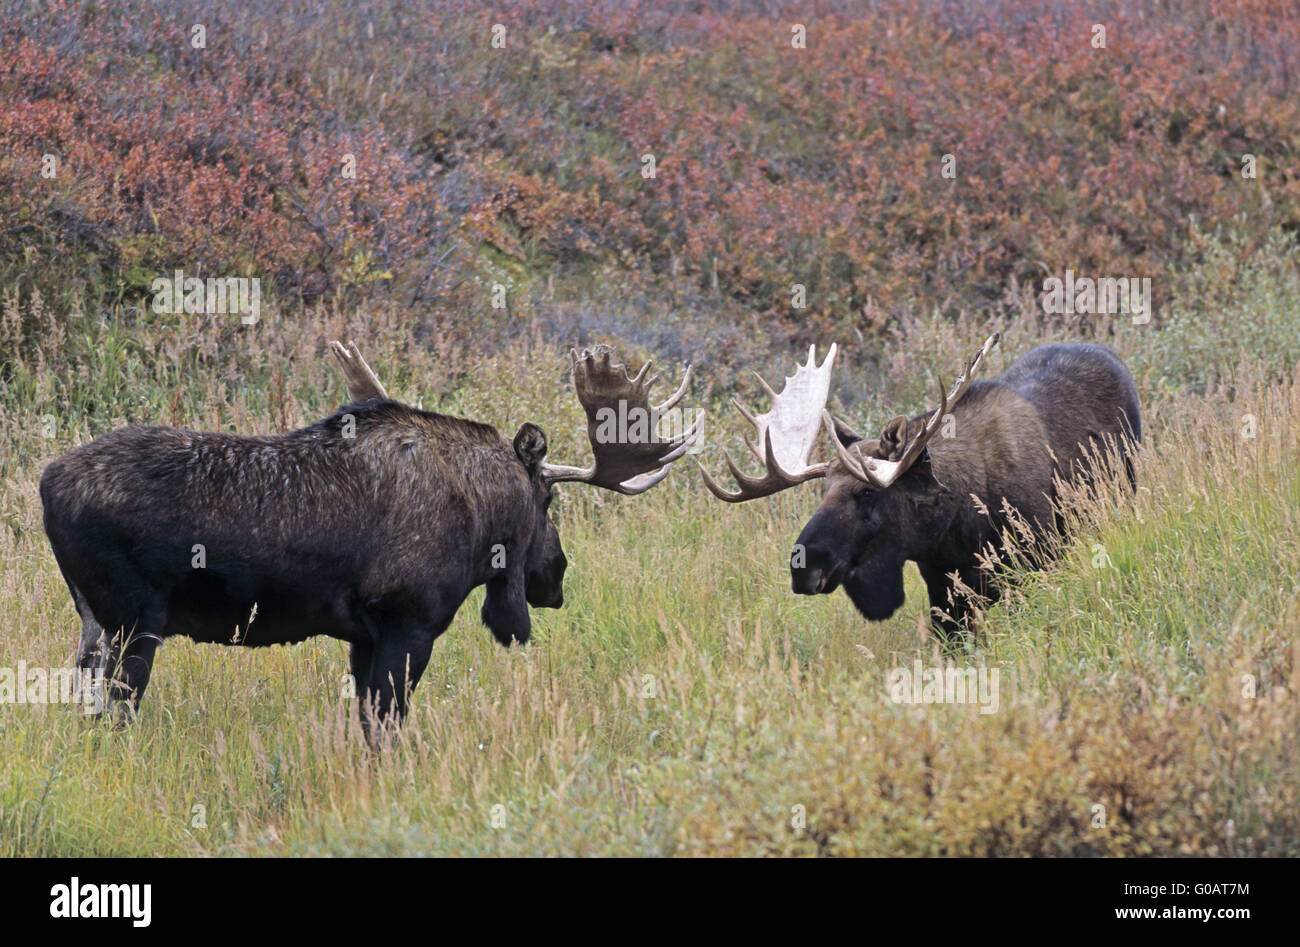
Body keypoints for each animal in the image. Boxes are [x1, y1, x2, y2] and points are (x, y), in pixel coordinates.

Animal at [40, 342, 699, 734]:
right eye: (550, 501)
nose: (556, 575)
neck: (479, 520)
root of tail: (46, 483)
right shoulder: (408, 626)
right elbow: (387, 732)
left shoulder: (362, 639)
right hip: (132, 622)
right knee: (115, 714)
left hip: (92, 622)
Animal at [700, 334, 1141, 637]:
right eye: (823, 489)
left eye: (867, 491)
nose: (803, 566)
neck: (956, 527)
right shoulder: (944, 593)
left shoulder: (1034, 569)